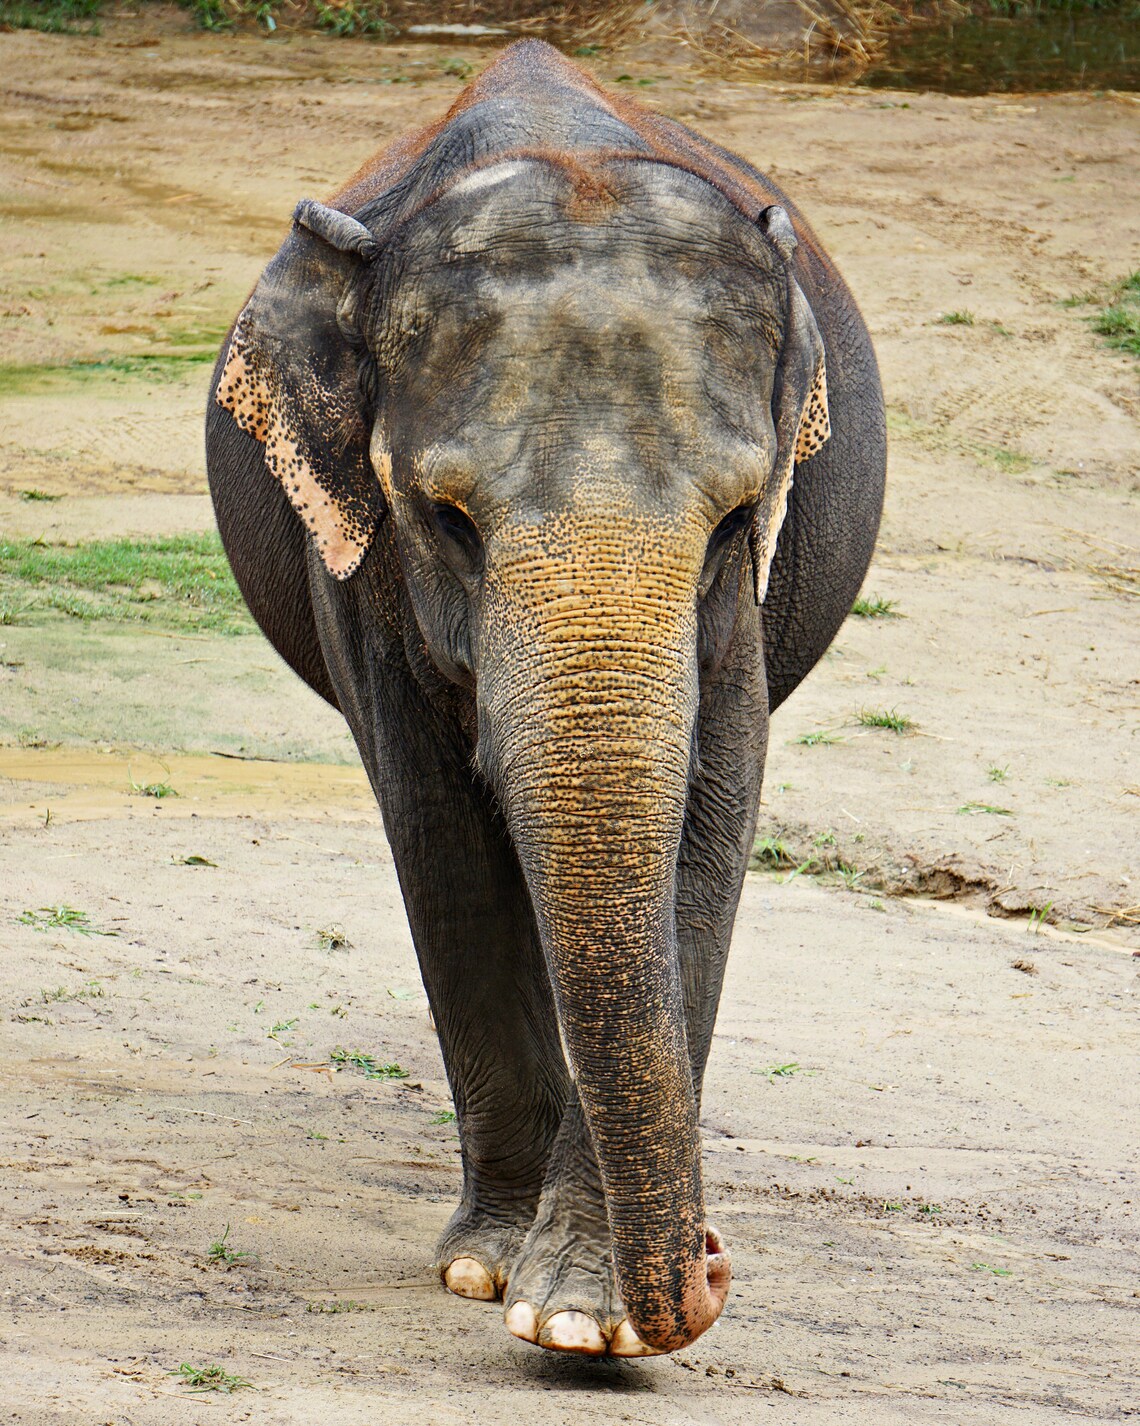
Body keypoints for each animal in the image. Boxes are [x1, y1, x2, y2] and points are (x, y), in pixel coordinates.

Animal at [205, 39, 885, 1359]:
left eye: (737, 518)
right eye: (447, 518)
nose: (713, 1260)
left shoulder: (740, 613)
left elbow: (707, 827)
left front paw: (582, 1314)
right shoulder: (357, 570)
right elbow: (439, 836)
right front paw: (490, 1273)